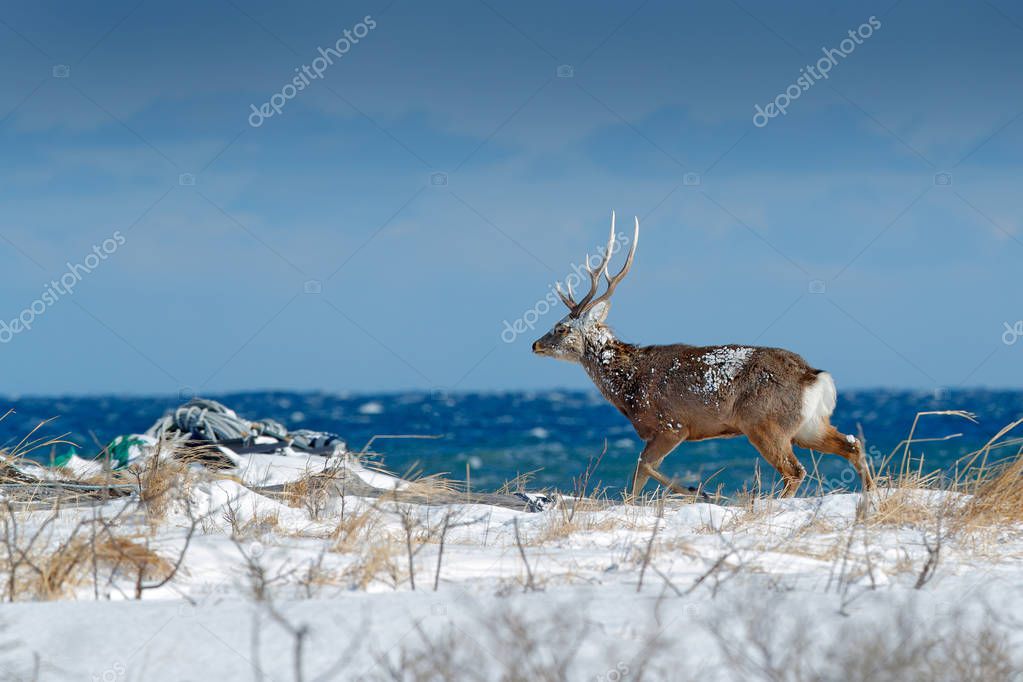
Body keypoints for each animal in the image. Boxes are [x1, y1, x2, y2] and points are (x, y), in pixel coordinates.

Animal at [531, 212, 874, 500]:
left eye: (561, 328)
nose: (535, 345)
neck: (628, 387)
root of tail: (813, 376)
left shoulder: (671, 424)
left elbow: (642, 467)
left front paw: (694, 491)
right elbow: (638, 476)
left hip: (764, 422)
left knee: (795, 470)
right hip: (808, 425)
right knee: (853, 445)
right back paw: (871, 495)